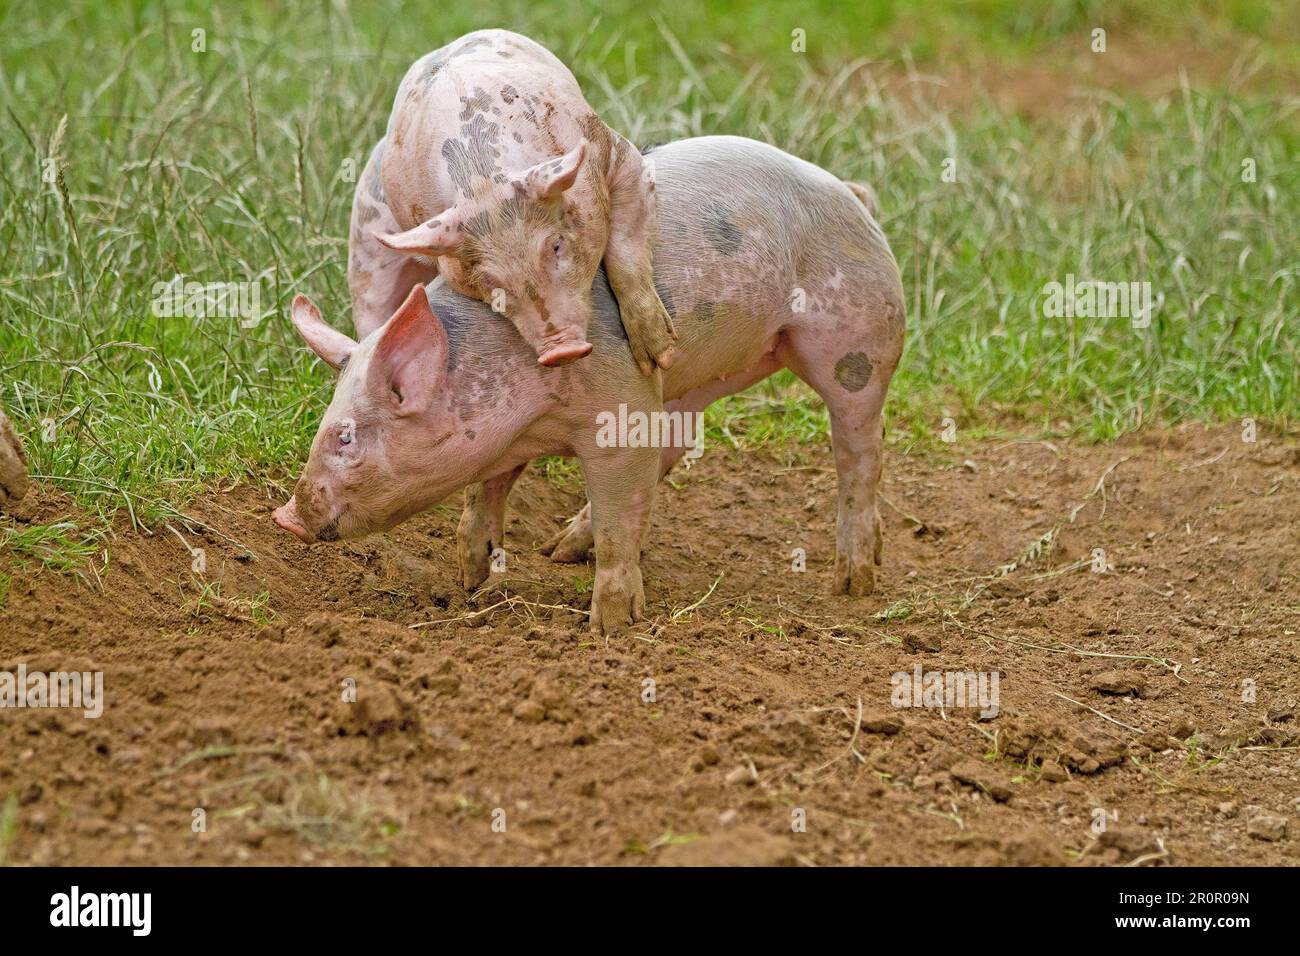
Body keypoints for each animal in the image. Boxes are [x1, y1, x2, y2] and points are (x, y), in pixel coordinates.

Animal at [276, 135, 905, 634]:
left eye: (346, 437)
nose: (286, 515)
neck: (534, 424)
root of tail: (854, 195)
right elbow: (487, 491)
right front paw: (470, 580)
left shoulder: (620, 404)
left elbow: (617, 514)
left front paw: (609, 628)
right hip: (686, 379)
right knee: (675, 442)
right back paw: (558, 550)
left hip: (859, 344)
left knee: (861, 450)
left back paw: (851, 582)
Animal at [351, 29, 676, 374]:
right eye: (488, 280)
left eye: (556, 245)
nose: (562, 351)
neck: (482, 182)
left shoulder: (619, 157)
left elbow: (626, 256)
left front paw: (658, 360)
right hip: (365, 248)